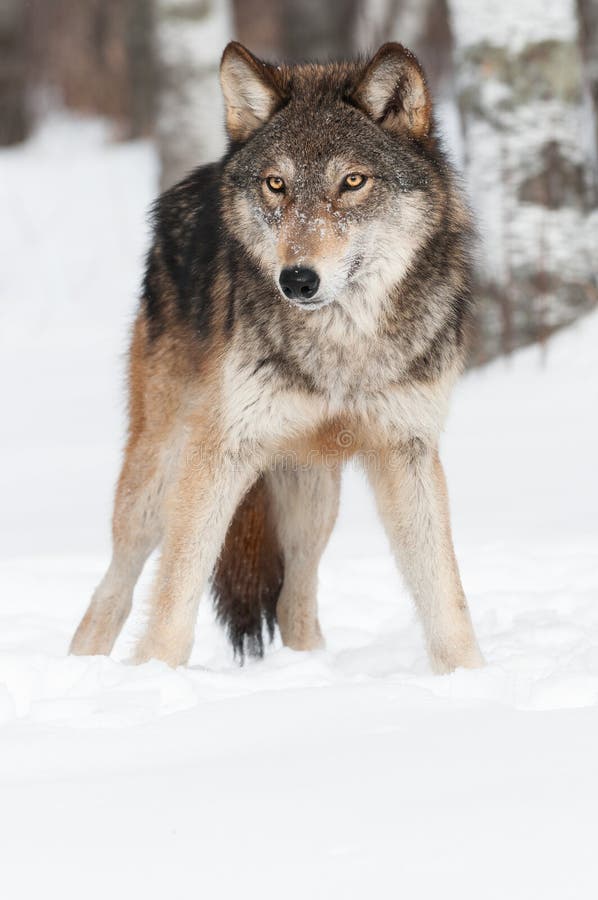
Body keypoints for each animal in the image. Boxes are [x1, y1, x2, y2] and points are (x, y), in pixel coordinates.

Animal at [70, 41, 484, 673]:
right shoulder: (221, 450)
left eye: (353, 181)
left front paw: (469, 678)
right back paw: (84, 666)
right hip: (158, 476)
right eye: (275, 185)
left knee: (296, 599)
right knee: (112, 588)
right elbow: (174, 594)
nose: (297, 279)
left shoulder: (406, 449)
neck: (342, 344)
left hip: (312, 499)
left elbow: (446, 595)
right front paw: (156, 675)